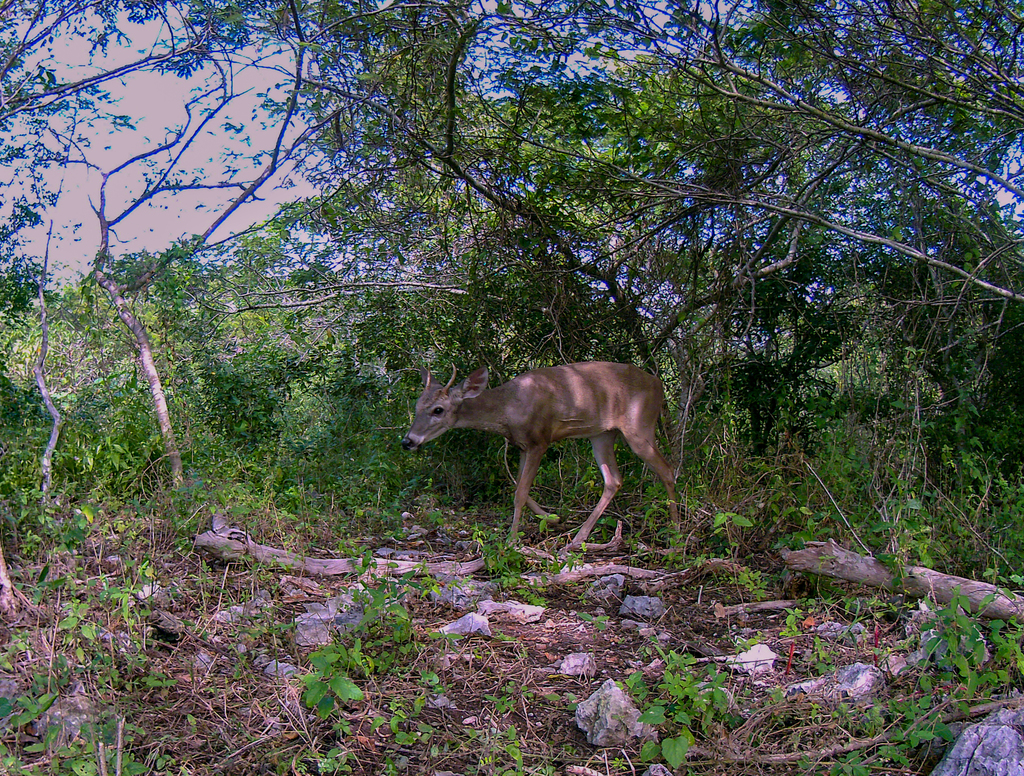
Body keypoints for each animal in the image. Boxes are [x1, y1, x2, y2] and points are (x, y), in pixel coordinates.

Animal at [401, 362, 679, 551]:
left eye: (438, 410)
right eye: (417, 406)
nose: (408, 441)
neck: (508, 408)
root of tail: (659, 385)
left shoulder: (540, 440)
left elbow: (521, 491)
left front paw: (511, 540)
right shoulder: (523, 445)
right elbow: (517, 486)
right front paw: (553, 518)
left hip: (639, 425)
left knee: (666, 469)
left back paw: (676, 531)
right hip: (602, 433)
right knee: (614, 480)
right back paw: (579, 537)